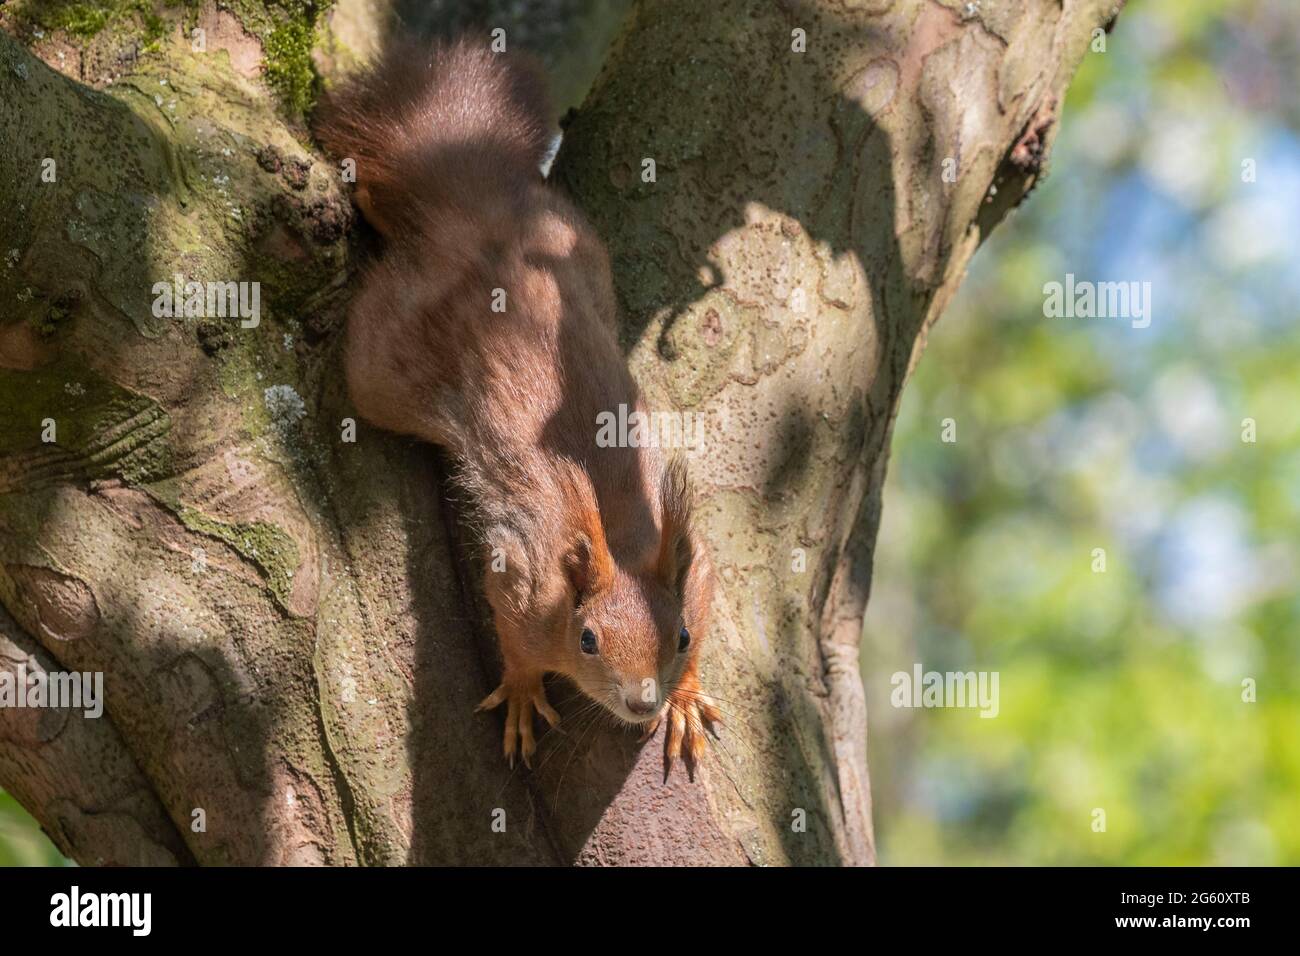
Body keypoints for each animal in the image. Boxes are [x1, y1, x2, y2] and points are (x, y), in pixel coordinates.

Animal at [314, 38, 721, 777]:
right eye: (588, 639)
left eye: (678, 635)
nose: (642, 702)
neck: (620, 535)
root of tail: (476, 211)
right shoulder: (523, 583)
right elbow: (516, 639)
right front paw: (526, 692)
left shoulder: (695, 571)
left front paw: (685, 697)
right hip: (386, 364)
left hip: (571, 236)